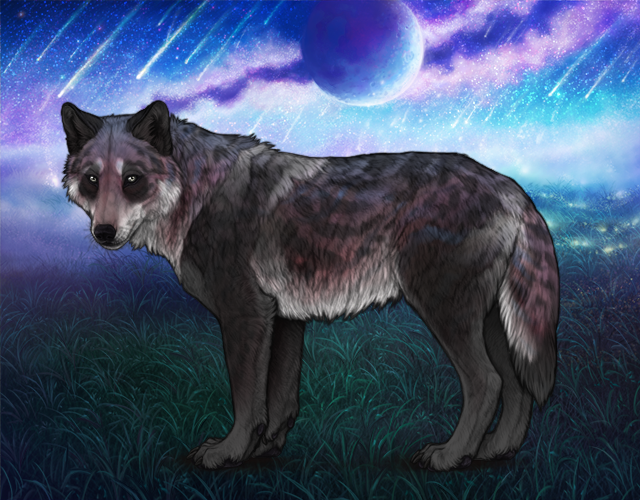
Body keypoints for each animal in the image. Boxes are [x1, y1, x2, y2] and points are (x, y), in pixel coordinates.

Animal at [61, 100, 559, 471]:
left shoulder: (246, 314)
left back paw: (451, 456)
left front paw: (228, 452)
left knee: (487, 383)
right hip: (492, 324)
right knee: (516, 386)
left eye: (132, 180)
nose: (104, 233)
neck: (196, 193)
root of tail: (511, 187)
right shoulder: (282, 319)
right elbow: (278, 400)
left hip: (446, 313)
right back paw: (495, 451)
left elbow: (246, 398)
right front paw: (262, 450)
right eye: (92, 180)